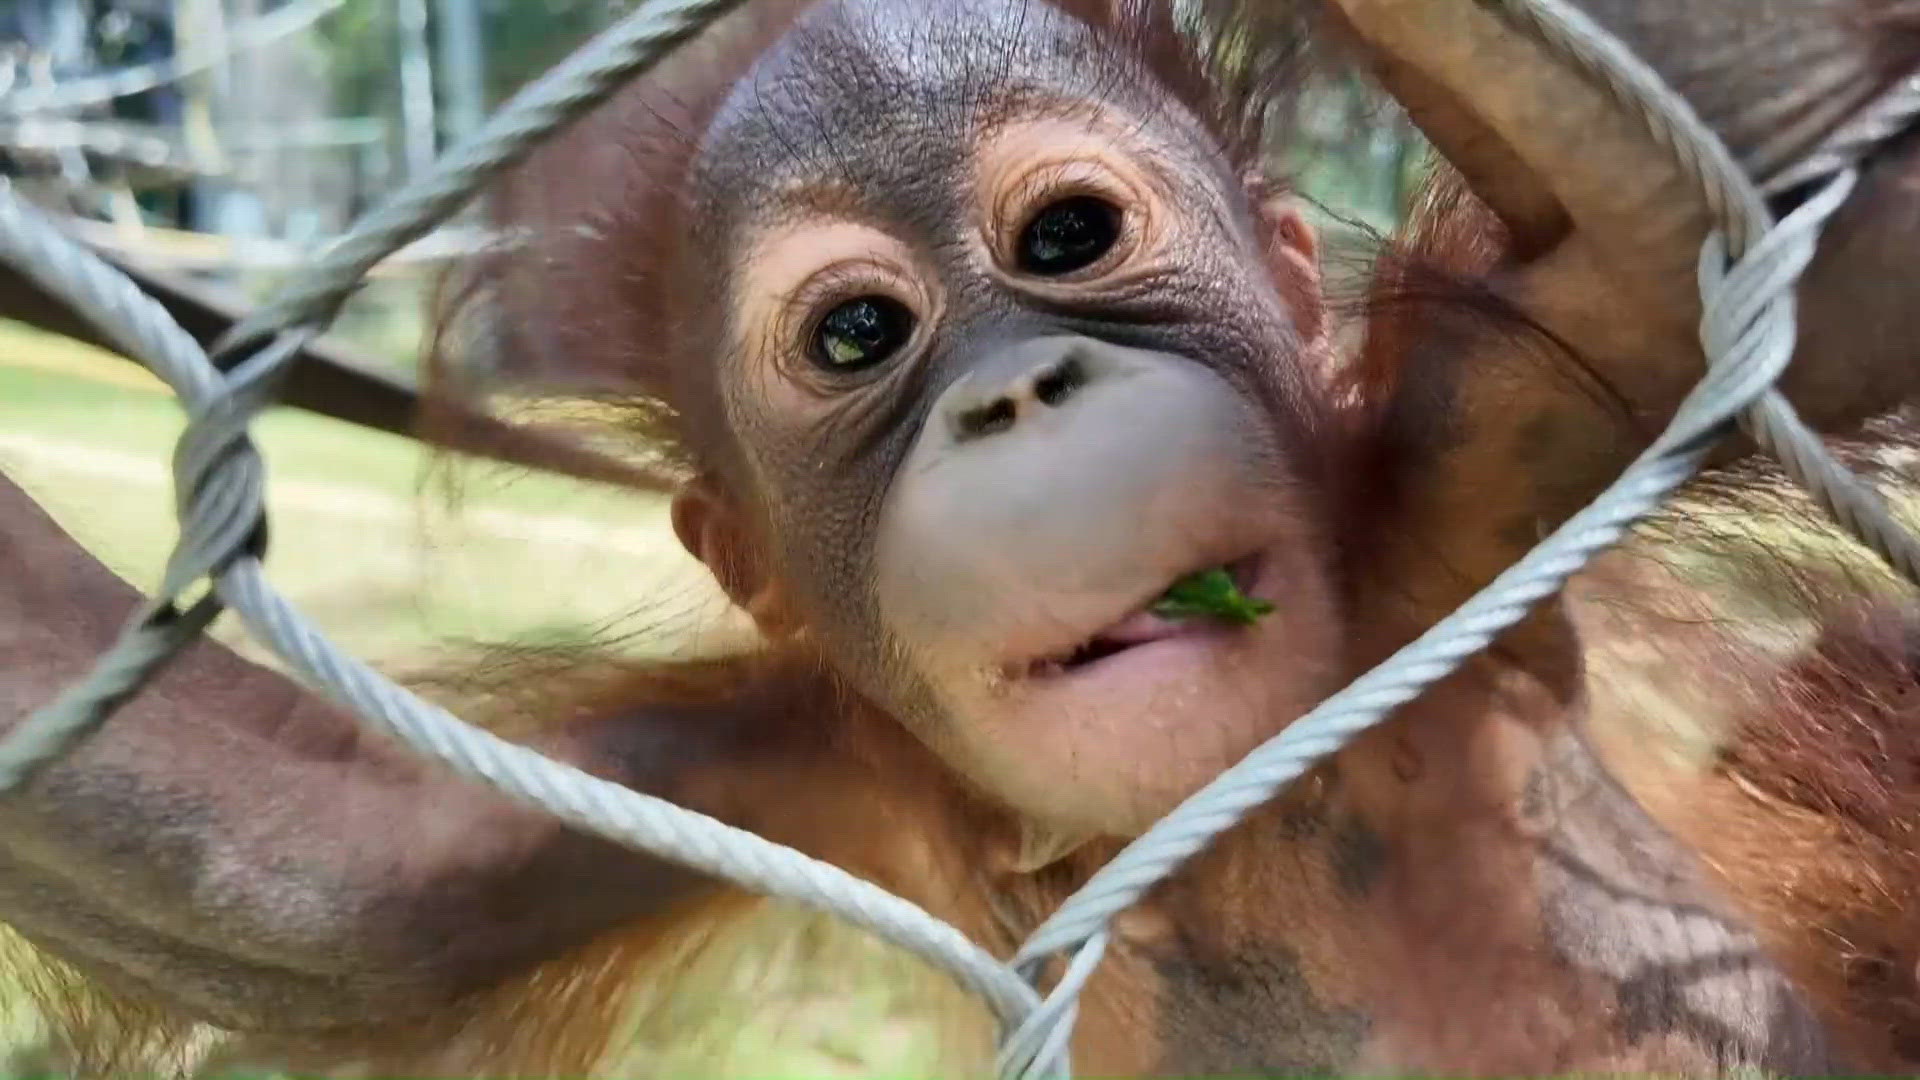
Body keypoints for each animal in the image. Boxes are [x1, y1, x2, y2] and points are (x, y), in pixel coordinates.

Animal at [3, 0, 1920, 1075]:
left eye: (1067, 237)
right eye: (862, 336)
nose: (1020, 391)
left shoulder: (1488, 437)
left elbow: (1812, 217)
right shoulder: (759, 767)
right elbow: (285, 871)